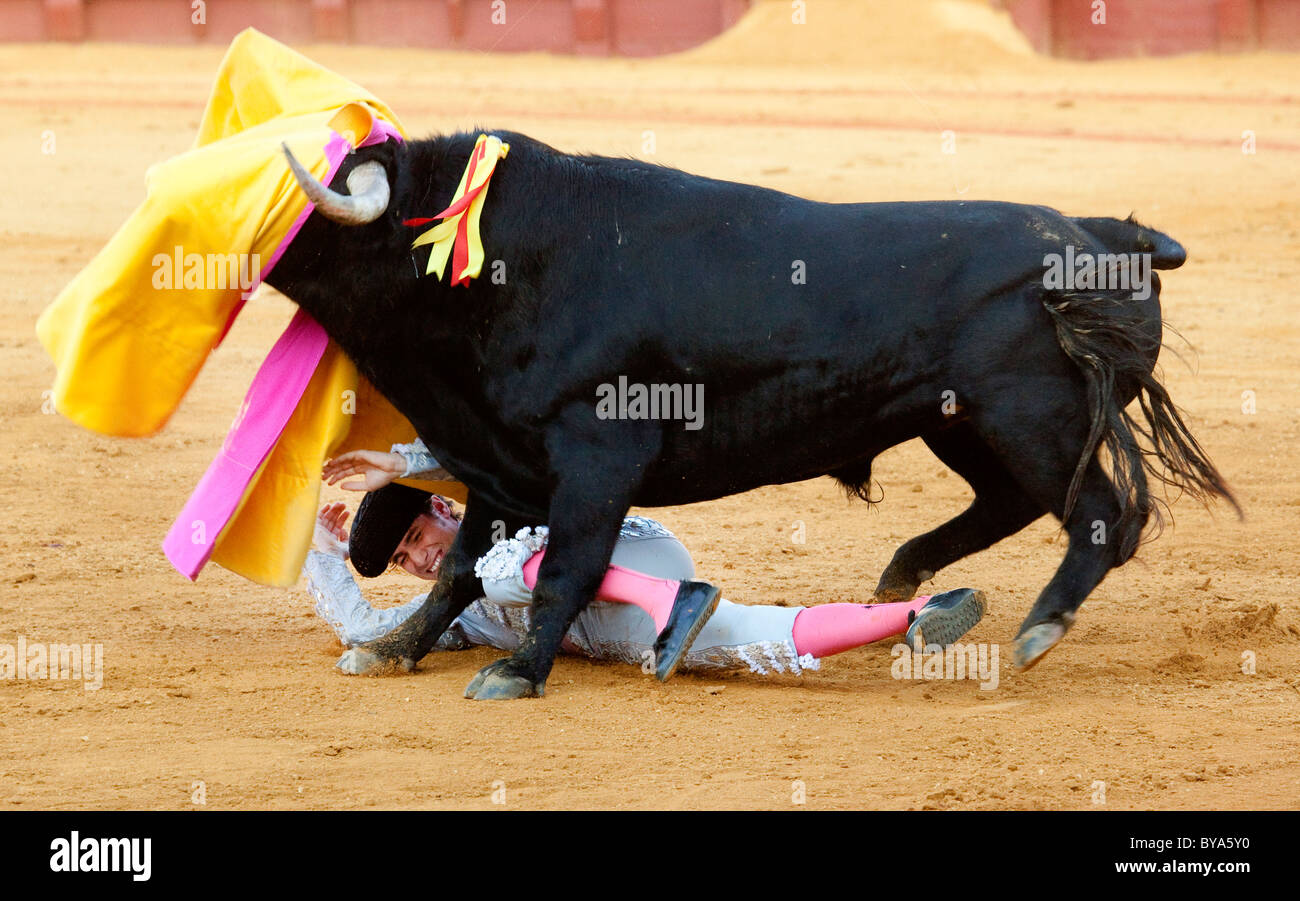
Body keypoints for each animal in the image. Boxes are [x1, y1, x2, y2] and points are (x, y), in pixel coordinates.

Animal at [269, 129, 1238, 699]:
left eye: (299, 206)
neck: (501, 261)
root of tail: (1101, 235)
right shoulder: (498, 462)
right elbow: (460, 571)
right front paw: (393, 648)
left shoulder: (597, 452)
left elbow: (565, 566)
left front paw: (516, 669)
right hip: (961, 423)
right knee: (1013, 503)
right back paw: (902, 580)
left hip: (1031, 414)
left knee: (1104, 515)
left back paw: (1038, 627)